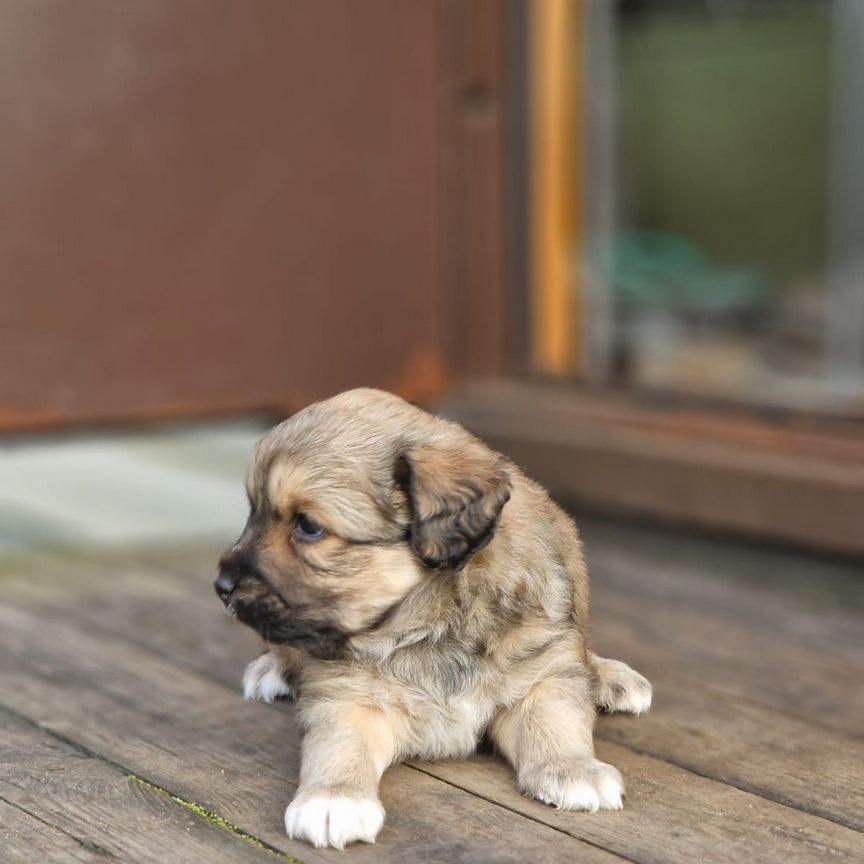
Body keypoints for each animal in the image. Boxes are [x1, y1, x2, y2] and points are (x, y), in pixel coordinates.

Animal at [214, 390, 648, 852]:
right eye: (253, 513)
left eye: (309, 526)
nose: (221, 586)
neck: (431, 621)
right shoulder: (348, 694)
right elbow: (340, 742)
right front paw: (334, 798)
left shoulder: (541, 668)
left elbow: (554, 717)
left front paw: (572, 768)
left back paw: (609, 675)